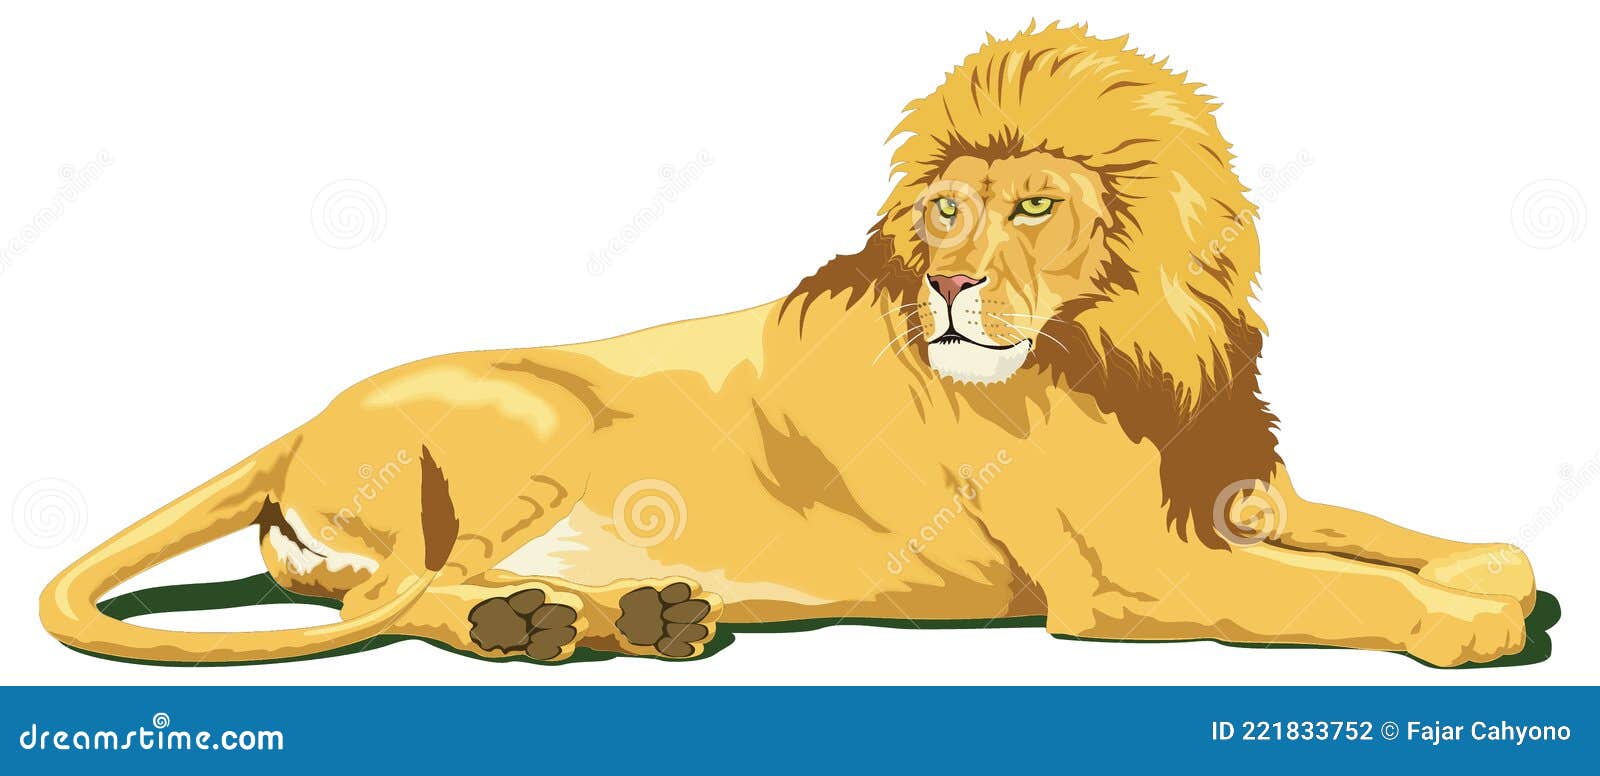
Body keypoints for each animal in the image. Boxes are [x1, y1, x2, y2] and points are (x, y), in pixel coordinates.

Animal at [41, 23, 1537, 668]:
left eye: (1032, 205)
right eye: (943, 209)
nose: (944, 282)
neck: (1133, 346)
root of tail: (302, 418)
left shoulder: (1232, 494)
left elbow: (1393, 537)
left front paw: (1491, 568)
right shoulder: (1129, 576)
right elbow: (1336, 591)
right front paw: (1470, 622)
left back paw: (643, 613)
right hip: (527, 423)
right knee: (403, 594)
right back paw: (539, 623)